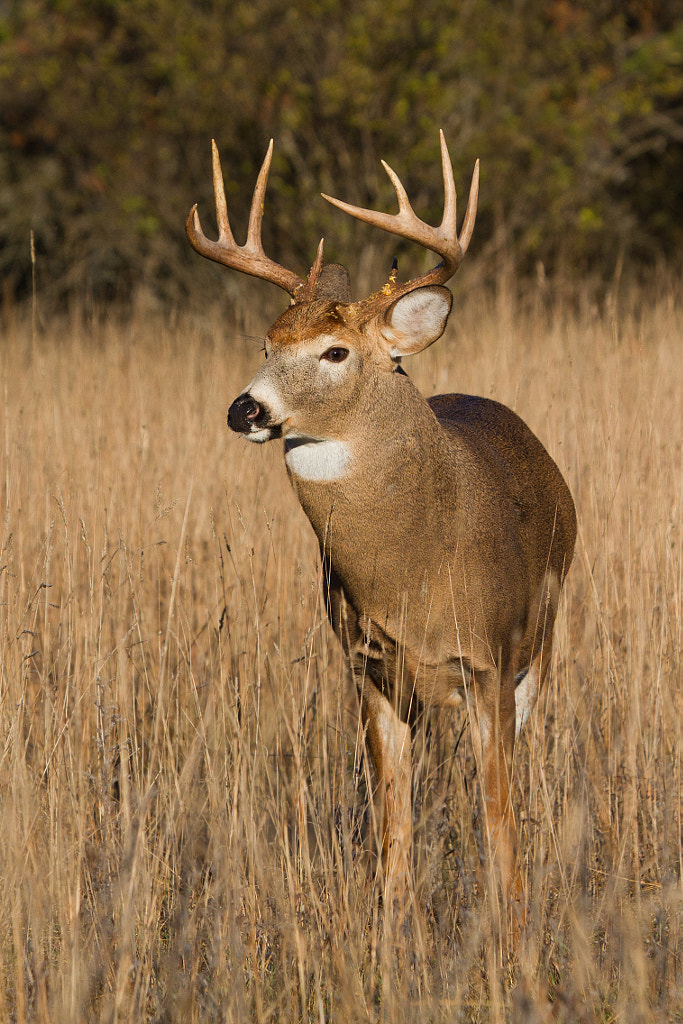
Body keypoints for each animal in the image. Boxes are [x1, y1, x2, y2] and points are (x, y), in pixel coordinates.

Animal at [186, 132, 576, 914]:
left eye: (335, 351)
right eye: (266, 344)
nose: (245, 409)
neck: (414, 574)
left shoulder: (490, 663)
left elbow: (499, 827)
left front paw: (510, 932)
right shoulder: (368, 667)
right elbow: (394, 832)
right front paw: (391, 932)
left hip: (540, 650)